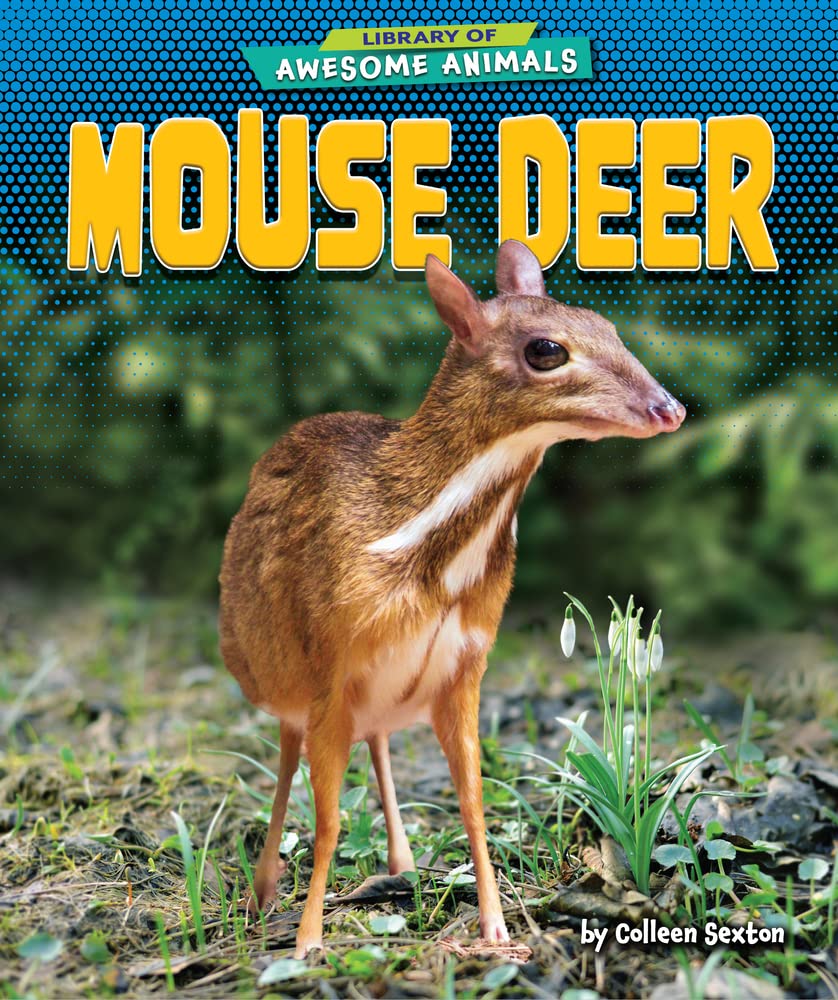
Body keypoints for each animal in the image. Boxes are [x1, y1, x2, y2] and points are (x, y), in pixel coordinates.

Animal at [218, 239, 685, 958]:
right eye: (546, 350)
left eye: (608, 326)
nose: (670, 408)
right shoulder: (332, 666)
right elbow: (327, 821)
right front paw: (307, 943)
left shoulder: (464, 664)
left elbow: (472, 799)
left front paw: (495, 927)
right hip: (281, 673)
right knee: (290, 749)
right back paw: (264, 890)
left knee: (378, 741)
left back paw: (401, 864)